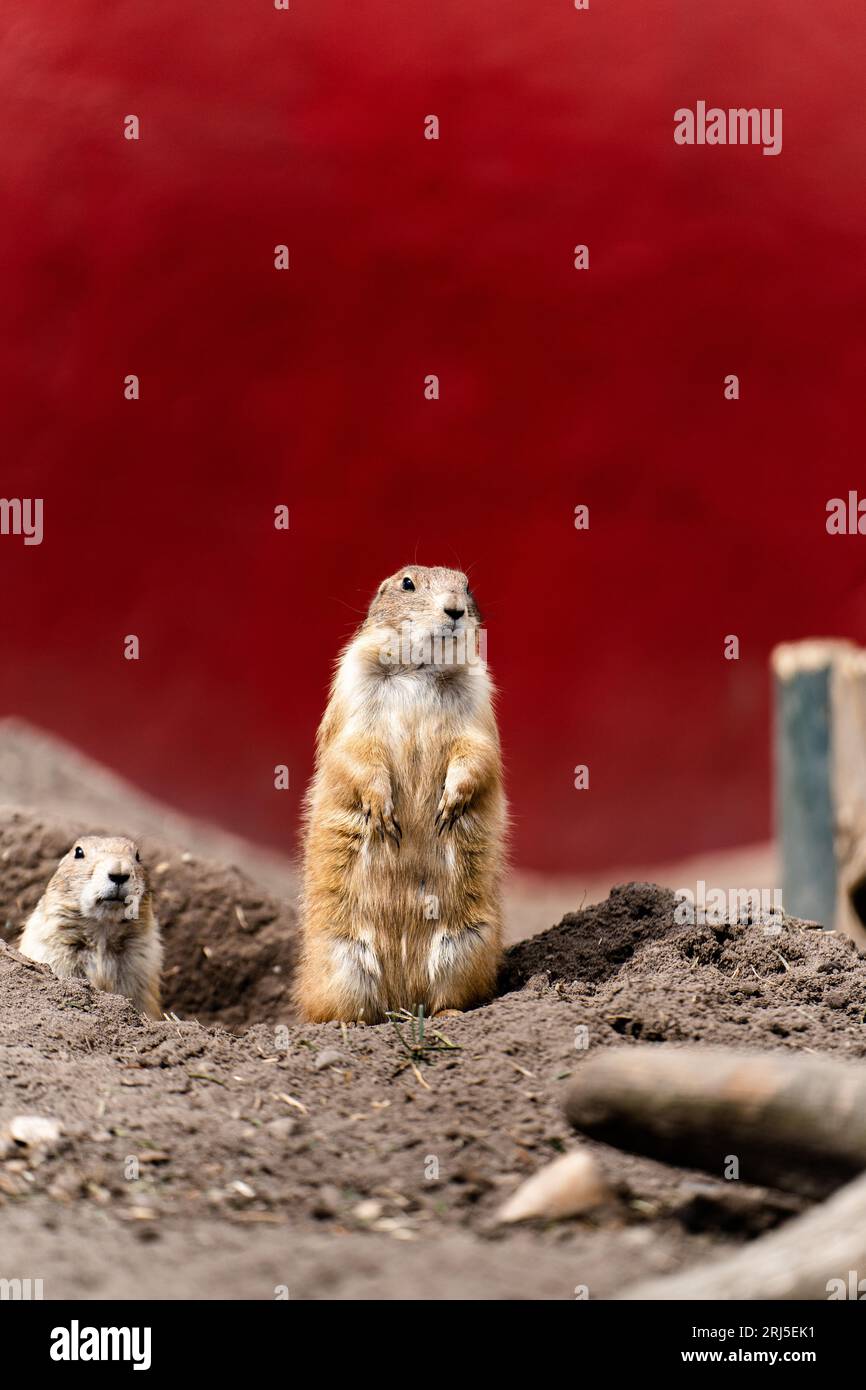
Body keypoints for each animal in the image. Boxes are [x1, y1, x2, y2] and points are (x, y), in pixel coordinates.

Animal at [295, 565, 507, 1023]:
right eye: (407, 583)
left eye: (467, 586)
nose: (455, 609)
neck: (419, 671)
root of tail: (403, 1001)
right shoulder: (353, 688)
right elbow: (357, 751)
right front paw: (385, 814)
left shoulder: (478, 701)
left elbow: (477, 751)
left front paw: (448, 806)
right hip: (339, 957)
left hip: (468, 944)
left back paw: (448, 1014)